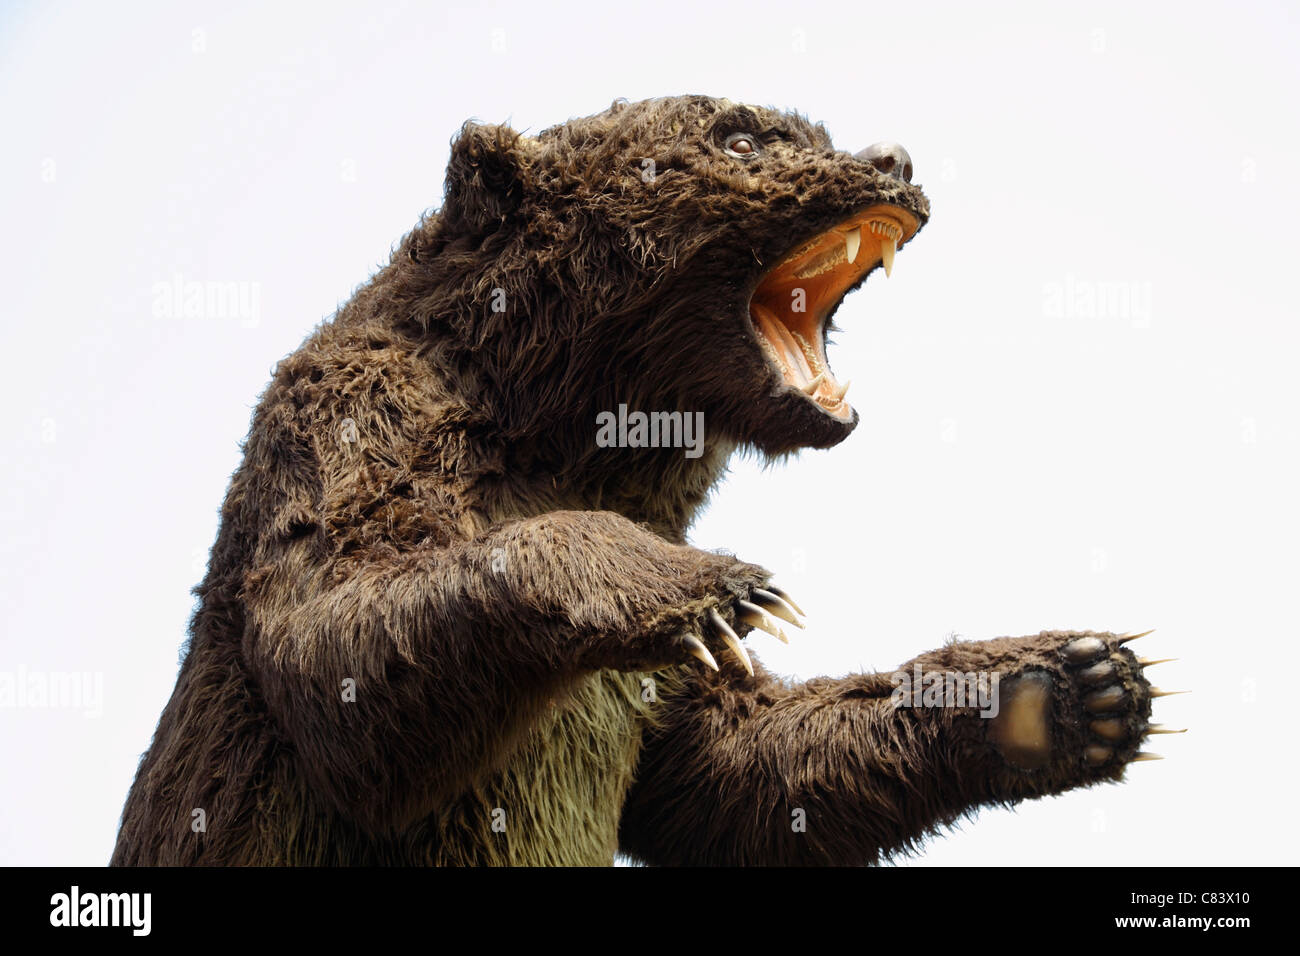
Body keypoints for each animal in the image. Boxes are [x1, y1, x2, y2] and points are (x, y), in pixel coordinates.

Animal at [111, 95, 1180, 866]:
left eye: (813, 129)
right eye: (743, 136)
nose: (897, 160)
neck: (557, 420)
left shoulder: (642, 680)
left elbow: (728, 767)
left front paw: (1072, 684)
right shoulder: (358, 418)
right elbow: (342, 641)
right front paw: (727, 588)